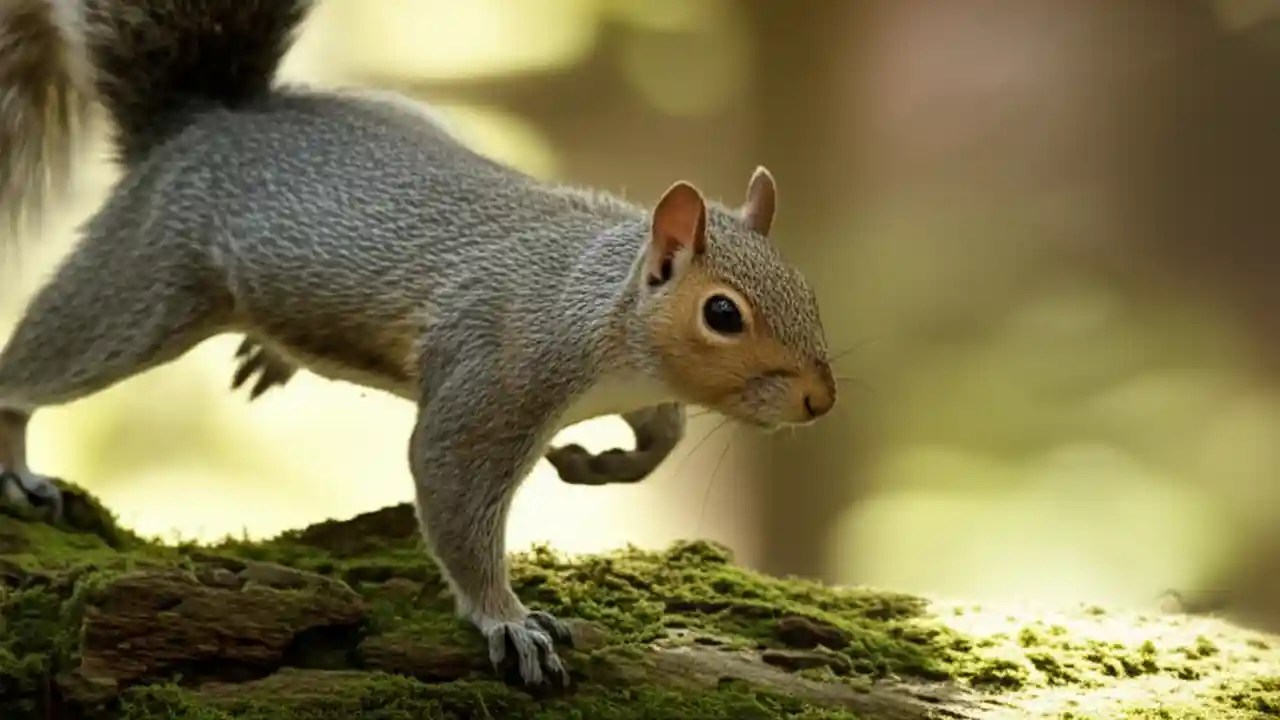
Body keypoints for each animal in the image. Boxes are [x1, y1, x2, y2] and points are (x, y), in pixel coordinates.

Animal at [0, 0, 837, 687]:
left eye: (807, 287)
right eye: (723, 313)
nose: (821, 400)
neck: (599, 308)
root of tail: (201, 124)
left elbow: (662, 438)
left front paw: (600, 464)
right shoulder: (499, 371)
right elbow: (452, 486)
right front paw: (509, 621)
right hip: (145, 284)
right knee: (34, 368)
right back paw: (16, 468)